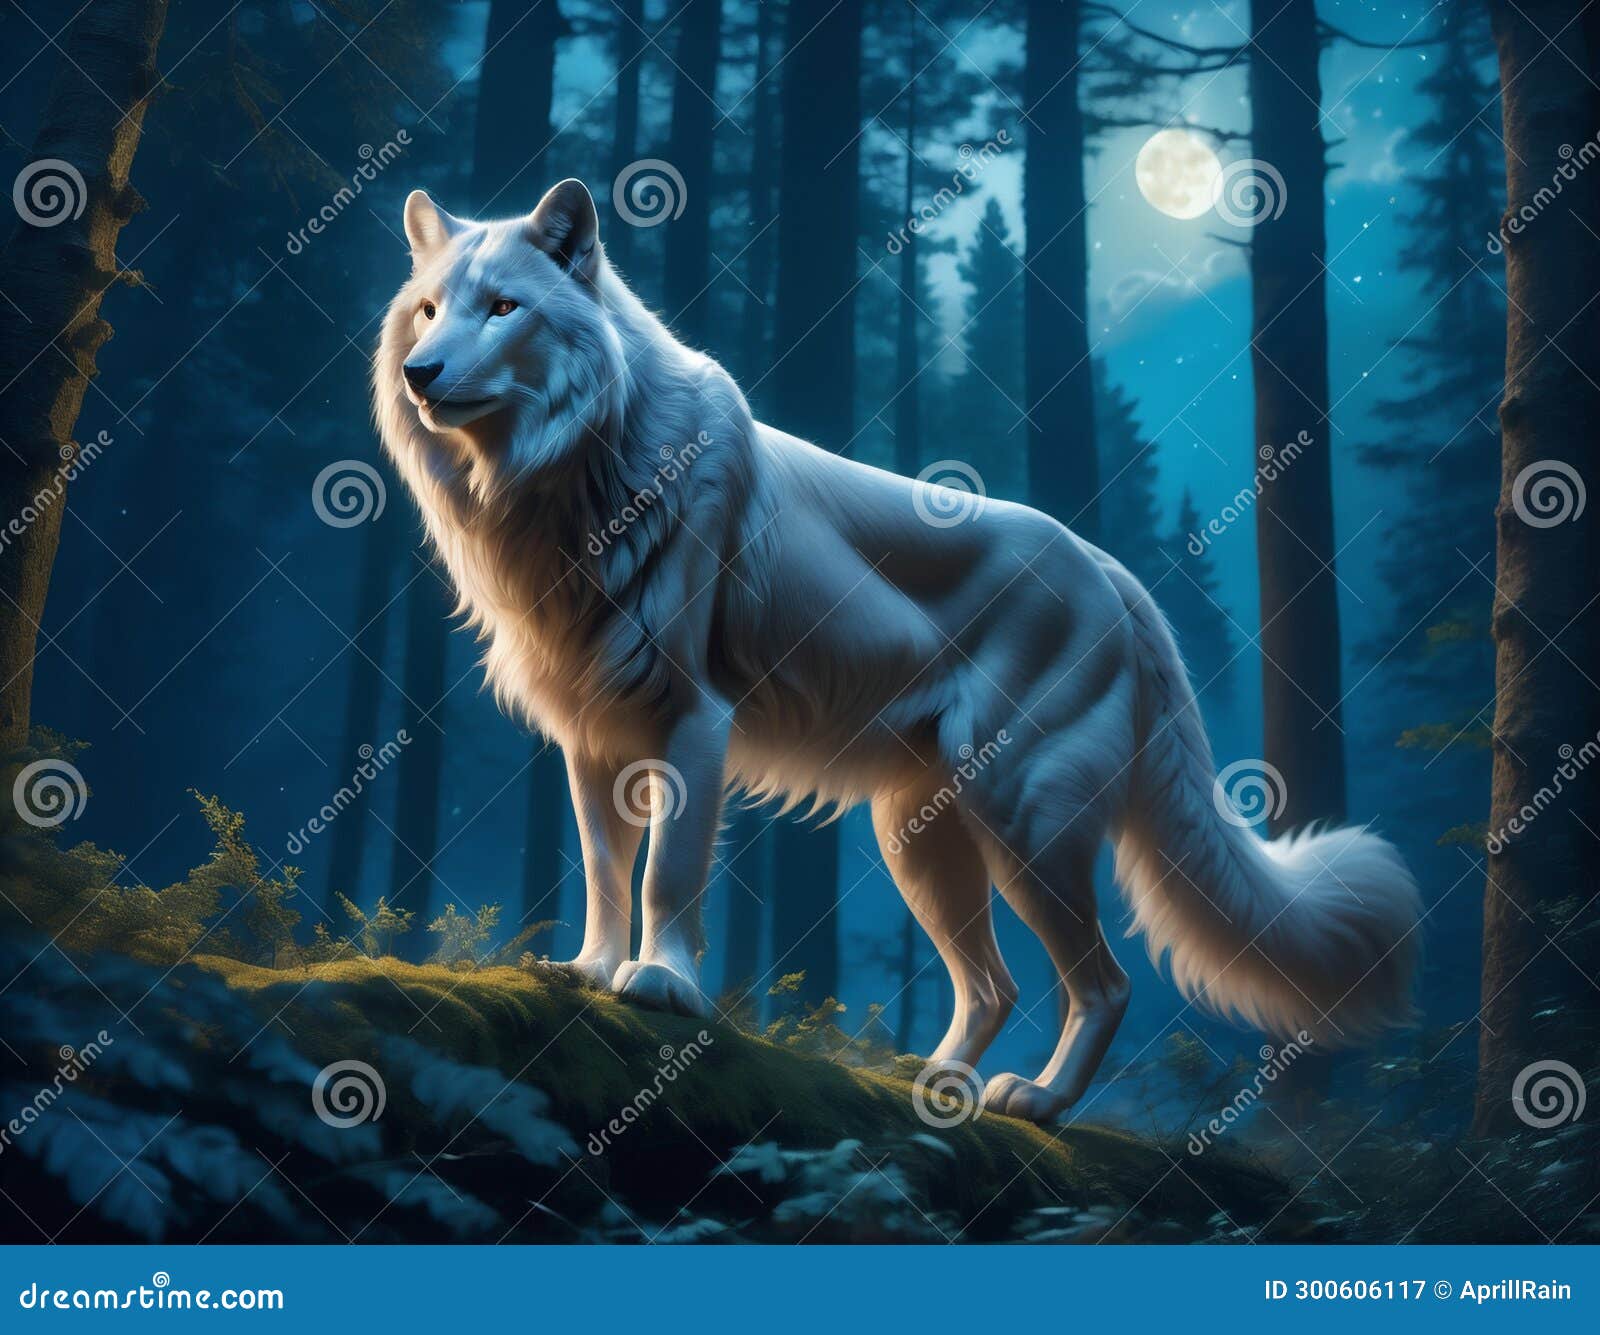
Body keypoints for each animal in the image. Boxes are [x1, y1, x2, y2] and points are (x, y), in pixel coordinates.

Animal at [374, 179, 1421, 1122]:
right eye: (428, 308)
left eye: (503, 308)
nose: (422, 371)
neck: (557, 487)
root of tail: (1112, 572)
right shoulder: (594, 737)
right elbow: (602, 870)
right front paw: (590, 969)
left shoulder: (694, 722)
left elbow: (667, 869)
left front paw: (660, 985)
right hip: (919, 840)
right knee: (995, 984)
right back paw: (936, 1088)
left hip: (1023, 821)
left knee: (1103, 982)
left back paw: (1036, 1101)